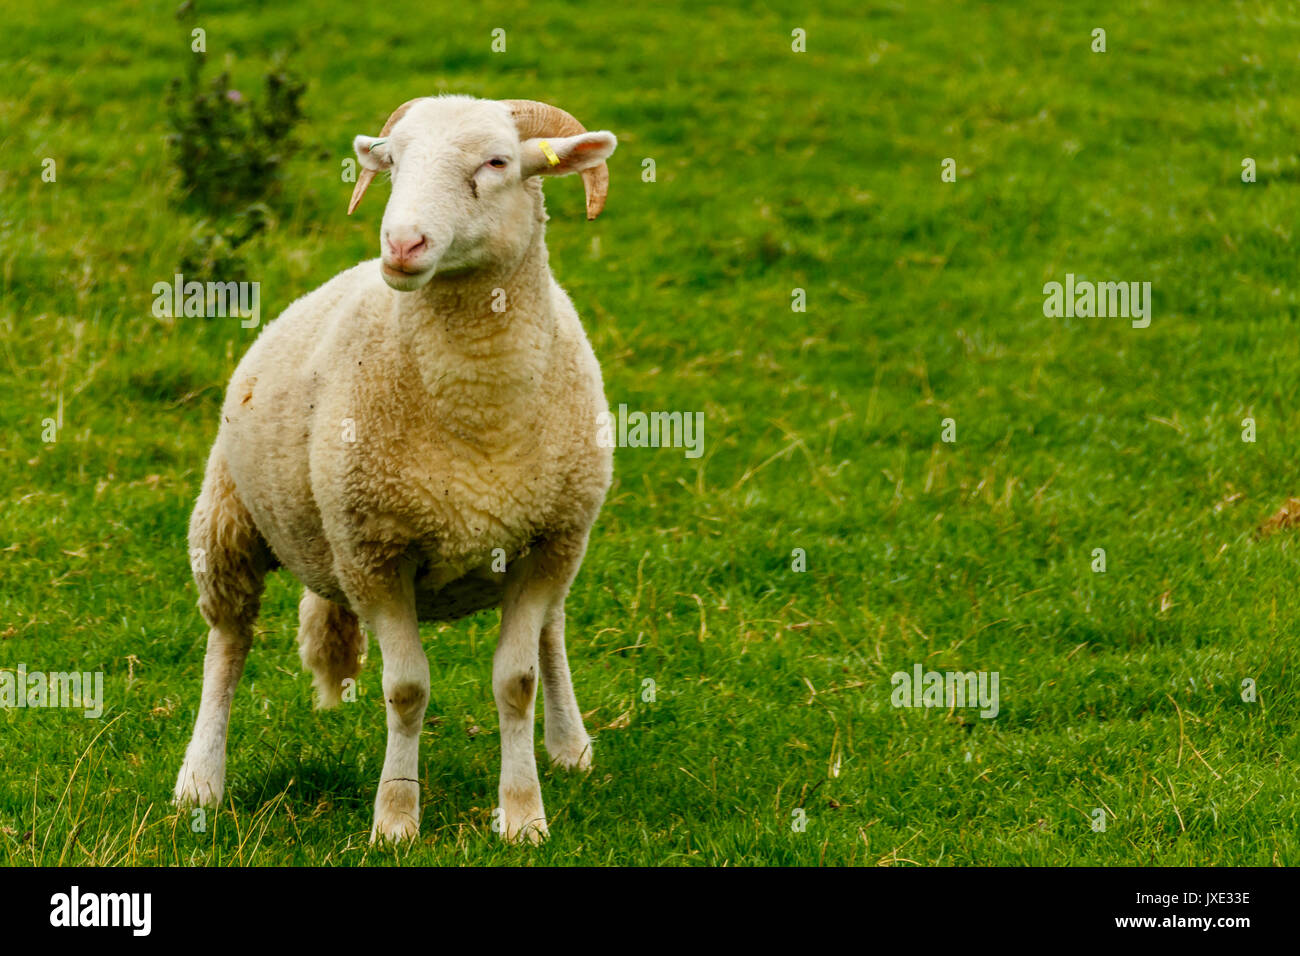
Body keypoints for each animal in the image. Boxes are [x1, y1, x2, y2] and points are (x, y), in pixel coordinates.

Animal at [172, 95, 618, 844]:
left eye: (497, 161)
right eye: (393, 161)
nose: (402, 245)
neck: (479, 416)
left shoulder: (548, 542)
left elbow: (517, 682)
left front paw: (523, 814)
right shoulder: (374, 555)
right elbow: (406, 690)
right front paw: (396, 819)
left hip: (561, 535)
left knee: (553, 632)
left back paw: (570, 744)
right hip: (227, 522)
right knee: (227, 646)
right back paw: (200, 780)